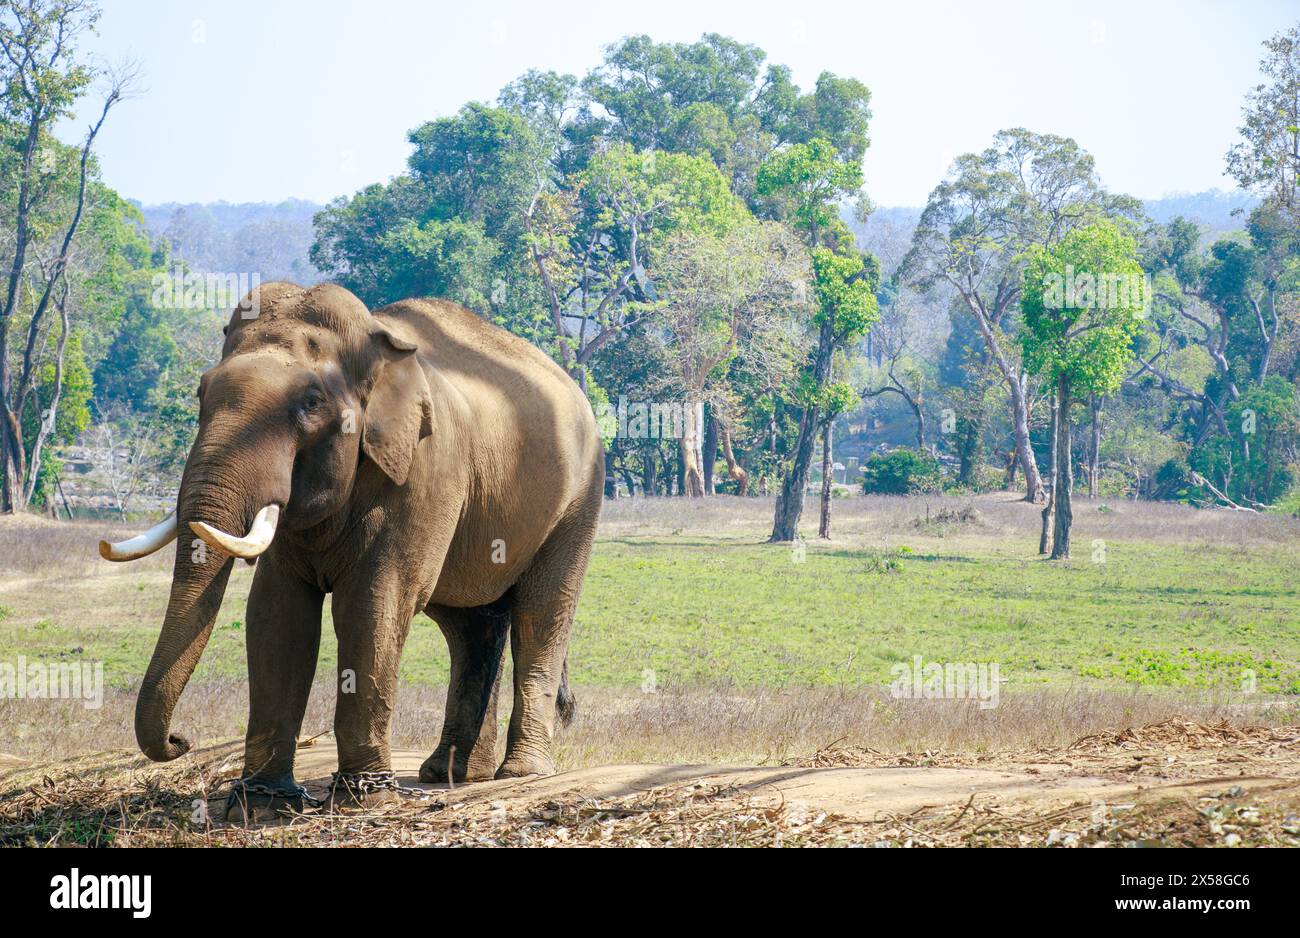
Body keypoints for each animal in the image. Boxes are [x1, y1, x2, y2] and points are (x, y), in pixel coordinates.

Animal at [99, 282, 604, 815]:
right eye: (201, 392)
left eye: (310, 402)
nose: (181, 741)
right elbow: (277, 613)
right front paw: (261, 804)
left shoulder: (422, 471)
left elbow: (370, 604)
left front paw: (364, 798)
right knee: (470, 626)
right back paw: (450, 774)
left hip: (579, 499)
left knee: (540, 613)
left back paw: (519, 772)